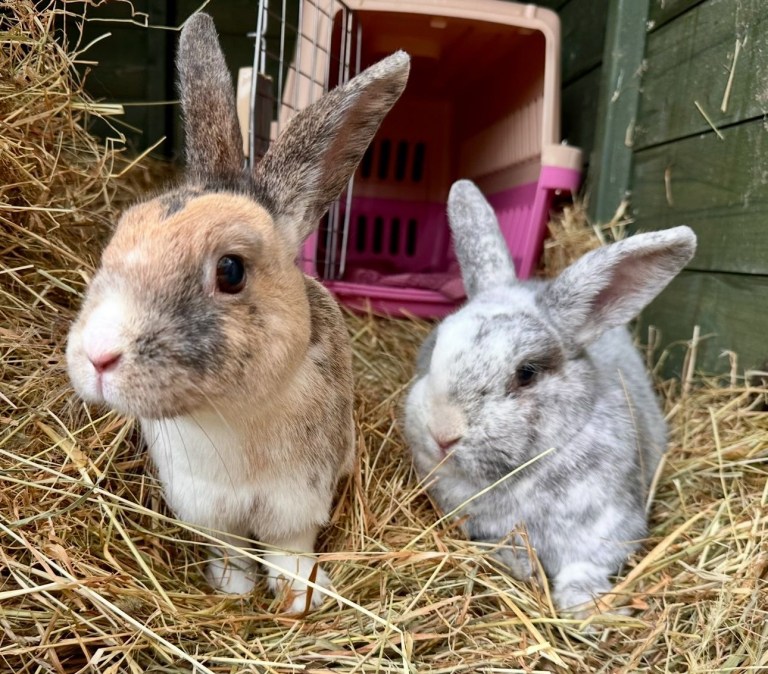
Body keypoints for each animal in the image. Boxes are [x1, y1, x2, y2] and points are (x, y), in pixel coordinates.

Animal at [66, 13, 410, 614]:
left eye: (230, 270)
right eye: (120, 235)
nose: (98, 354)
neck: (228, 414)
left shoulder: (295, 502)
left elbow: (289, 550)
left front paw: (299, 598)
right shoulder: (206, 505)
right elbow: (229, 547)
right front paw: (232, 587)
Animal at [403, 180, 696, 615]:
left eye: (526, 373)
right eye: (435, 344)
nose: (442, 432)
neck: (514, 477)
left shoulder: (607, 531)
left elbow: (584, 569)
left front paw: (589, 610)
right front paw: (521, 563)